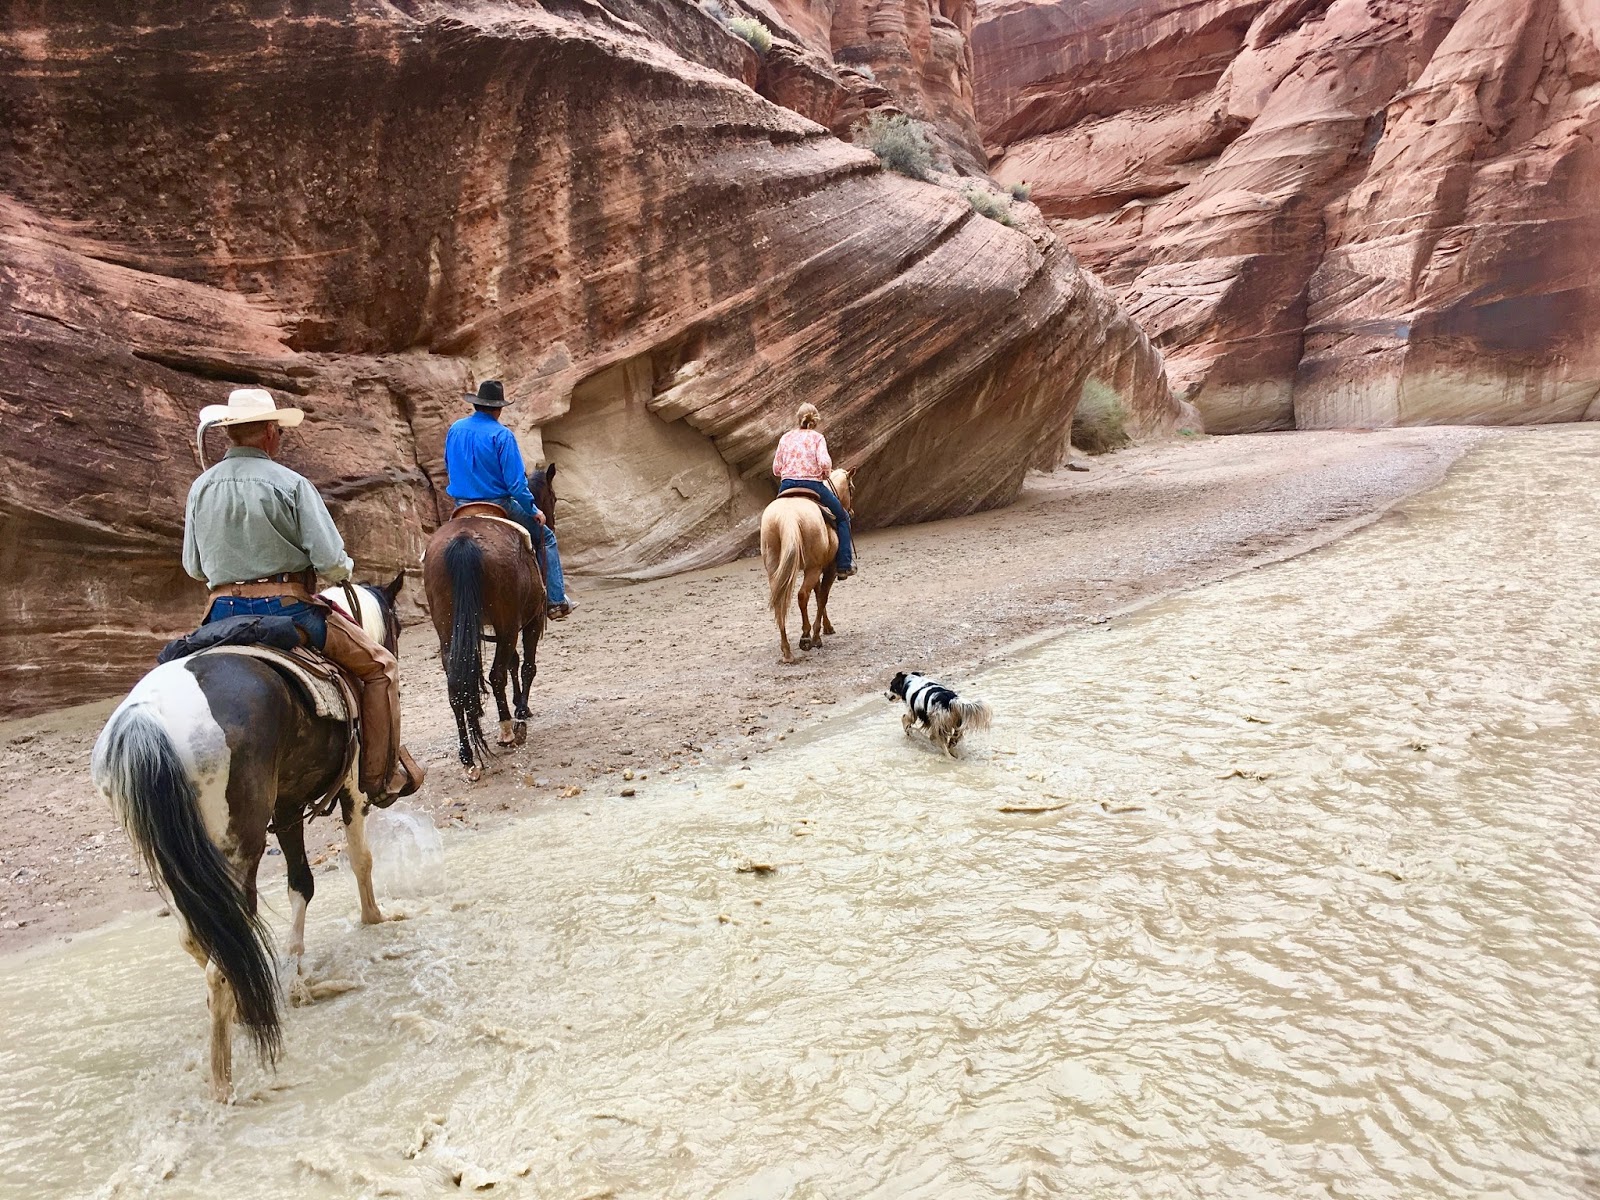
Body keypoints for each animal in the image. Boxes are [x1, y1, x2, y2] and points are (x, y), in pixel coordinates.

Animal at [89, 575, 407, 1103]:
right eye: (397, 627)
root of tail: (147, 718)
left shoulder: (288, 805)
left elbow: (300, 884)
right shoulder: (347, 788)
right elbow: (353, 861)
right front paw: (373, 917)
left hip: (175, 861)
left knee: (204, 939)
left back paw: (245, 1005)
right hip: (239, 846)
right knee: (220, 960)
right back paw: (224, 1082)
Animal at [422, 465, 556, 780]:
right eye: (554, 499)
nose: (549, 521)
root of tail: (464, 540)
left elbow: (509, 663)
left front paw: (518, 707)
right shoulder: (529, 621)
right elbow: (526, 666)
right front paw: (521, 712)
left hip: (449, 630)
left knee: (456, 685)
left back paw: (468, 757)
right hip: (507, 624)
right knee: (495, 675)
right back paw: (508, 731)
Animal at [759, 468, 854, 664]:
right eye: (852, 489)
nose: (851, 512)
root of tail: (786, 516)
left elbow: (817, 594)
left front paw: (827, 627)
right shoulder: (827, 568)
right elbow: (822, 597)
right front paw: (817, 636)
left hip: (775, 569)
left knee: (780, 601)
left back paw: (787, 651)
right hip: (813, 568)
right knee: (802, 595)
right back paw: (805, 637)